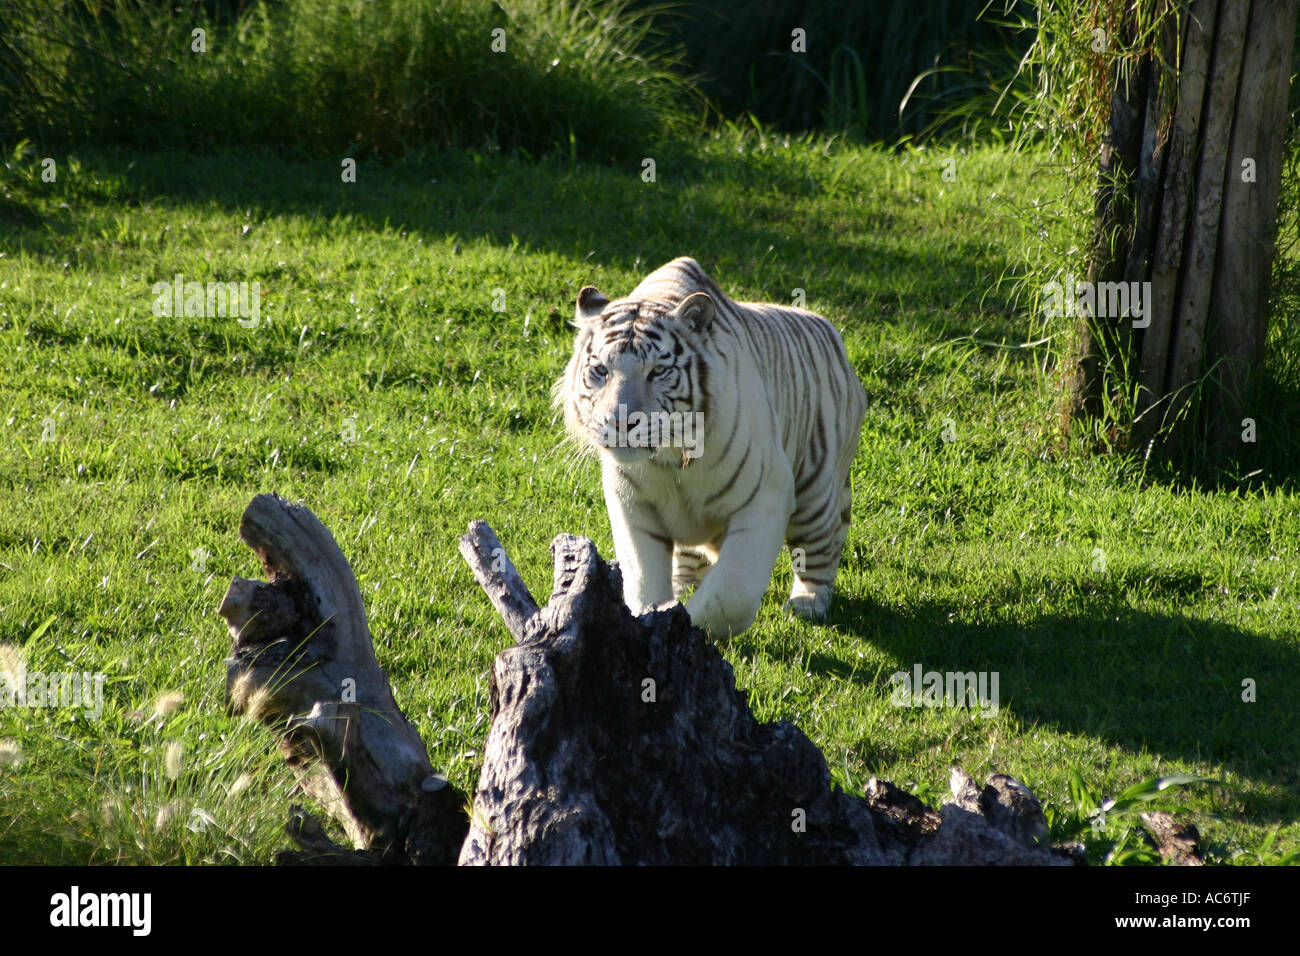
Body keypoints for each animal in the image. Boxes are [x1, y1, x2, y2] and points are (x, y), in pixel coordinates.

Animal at [555, 256, 867, 637]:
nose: (620, 422)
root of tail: (832, 333)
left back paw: (808, 604)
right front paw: (657, 615)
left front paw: (691, 624)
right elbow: (643, 578)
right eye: (601, 370)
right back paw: (683, 584)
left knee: (821, 548)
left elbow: (732, 593)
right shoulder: (631, 503)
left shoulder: (766, 496)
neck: (670, 457)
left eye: (657, 371)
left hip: (815, 493)